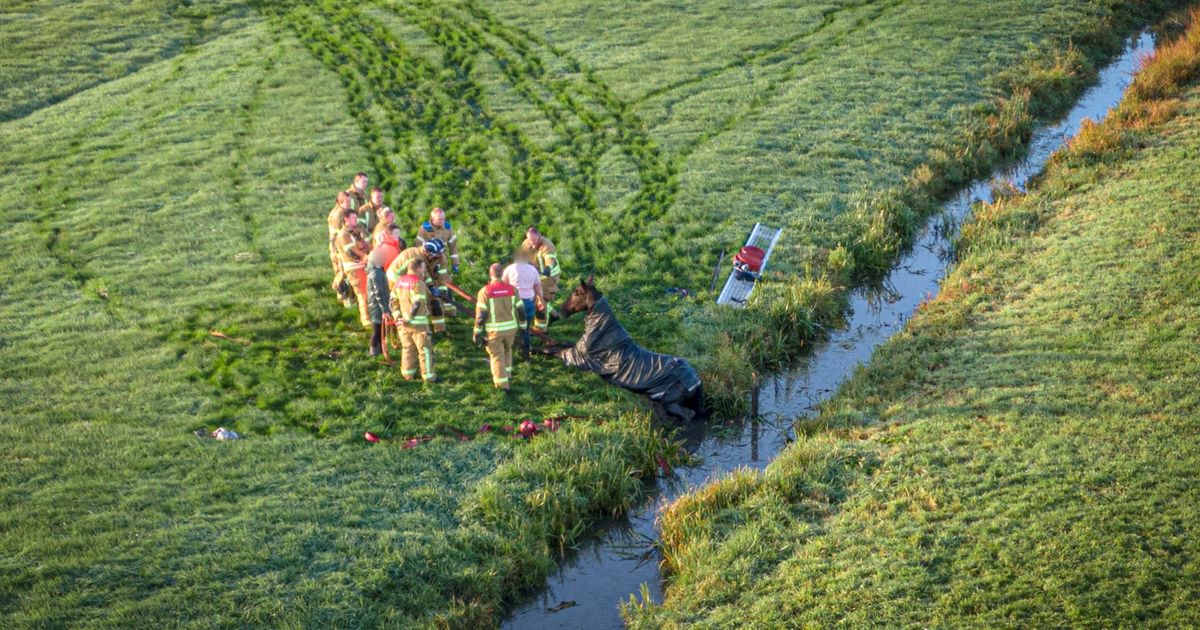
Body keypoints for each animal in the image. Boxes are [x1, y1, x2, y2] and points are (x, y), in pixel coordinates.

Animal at [541, 276, 705, 422]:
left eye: (576, 292)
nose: (561, 310)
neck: (601, 327)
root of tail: (697, 381)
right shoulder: (576, 351)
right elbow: (560, 343)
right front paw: (548, 341)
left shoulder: (577, 358)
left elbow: (552, 350)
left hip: (669, 400)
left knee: (687, 414)